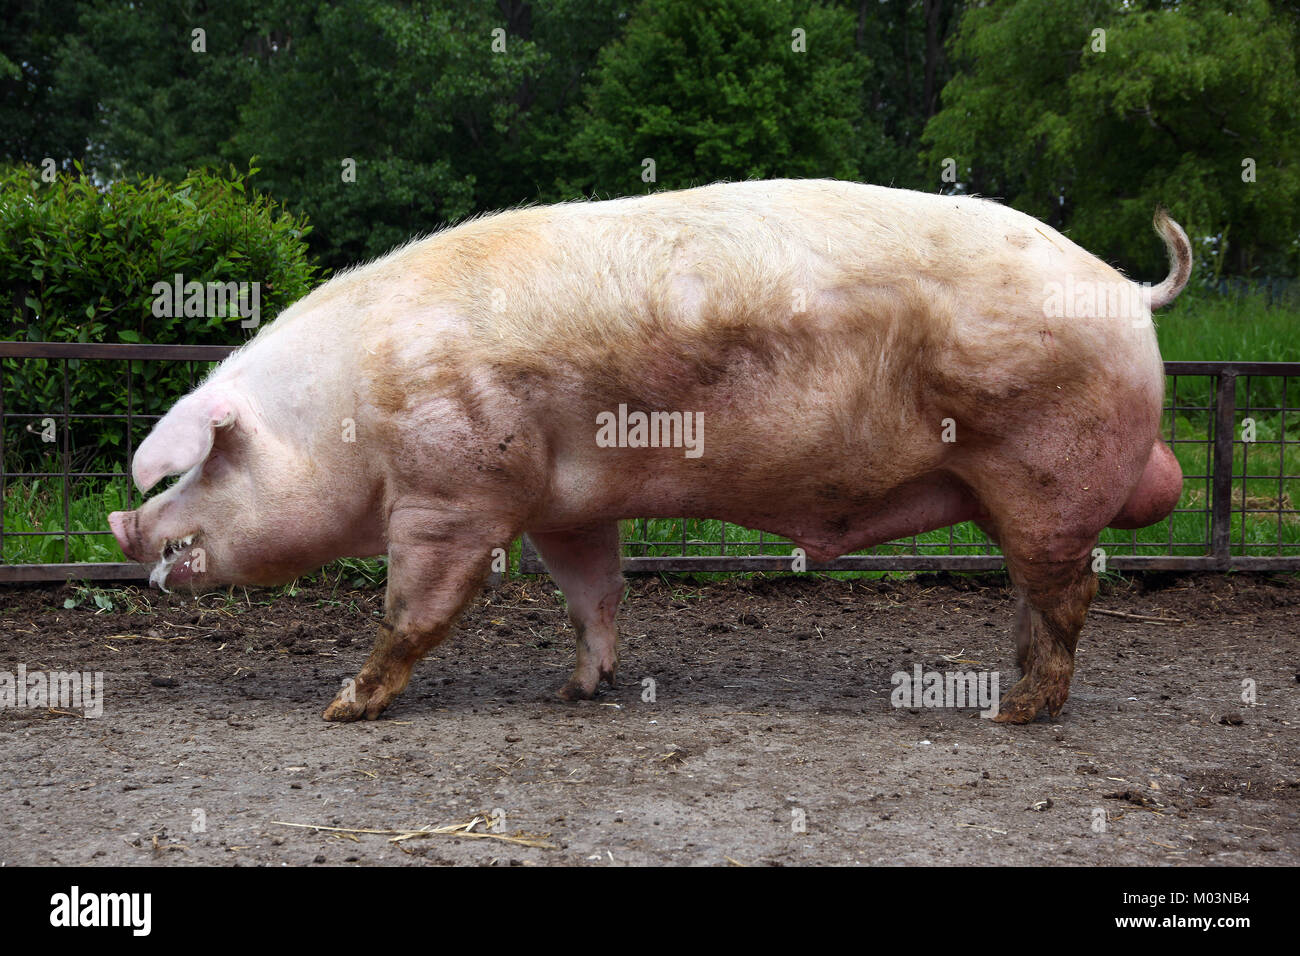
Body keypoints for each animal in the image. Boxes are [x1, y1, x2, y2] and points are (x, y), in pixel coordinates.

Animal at [108, 179, 1188, 724]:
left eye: (204, 460)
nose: (122, 521)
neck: (348, 412)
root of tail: (1129, 288)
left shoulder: (455, 493)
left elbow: (417, 608)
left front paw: (341, 706)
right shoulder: (565, 504)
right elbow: (594, 595)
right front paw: (573, 691)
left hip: (1044, 470)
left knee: (1068, 593)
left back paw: (1015, 713)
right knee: (1037, 597)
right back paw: (1008, 690)